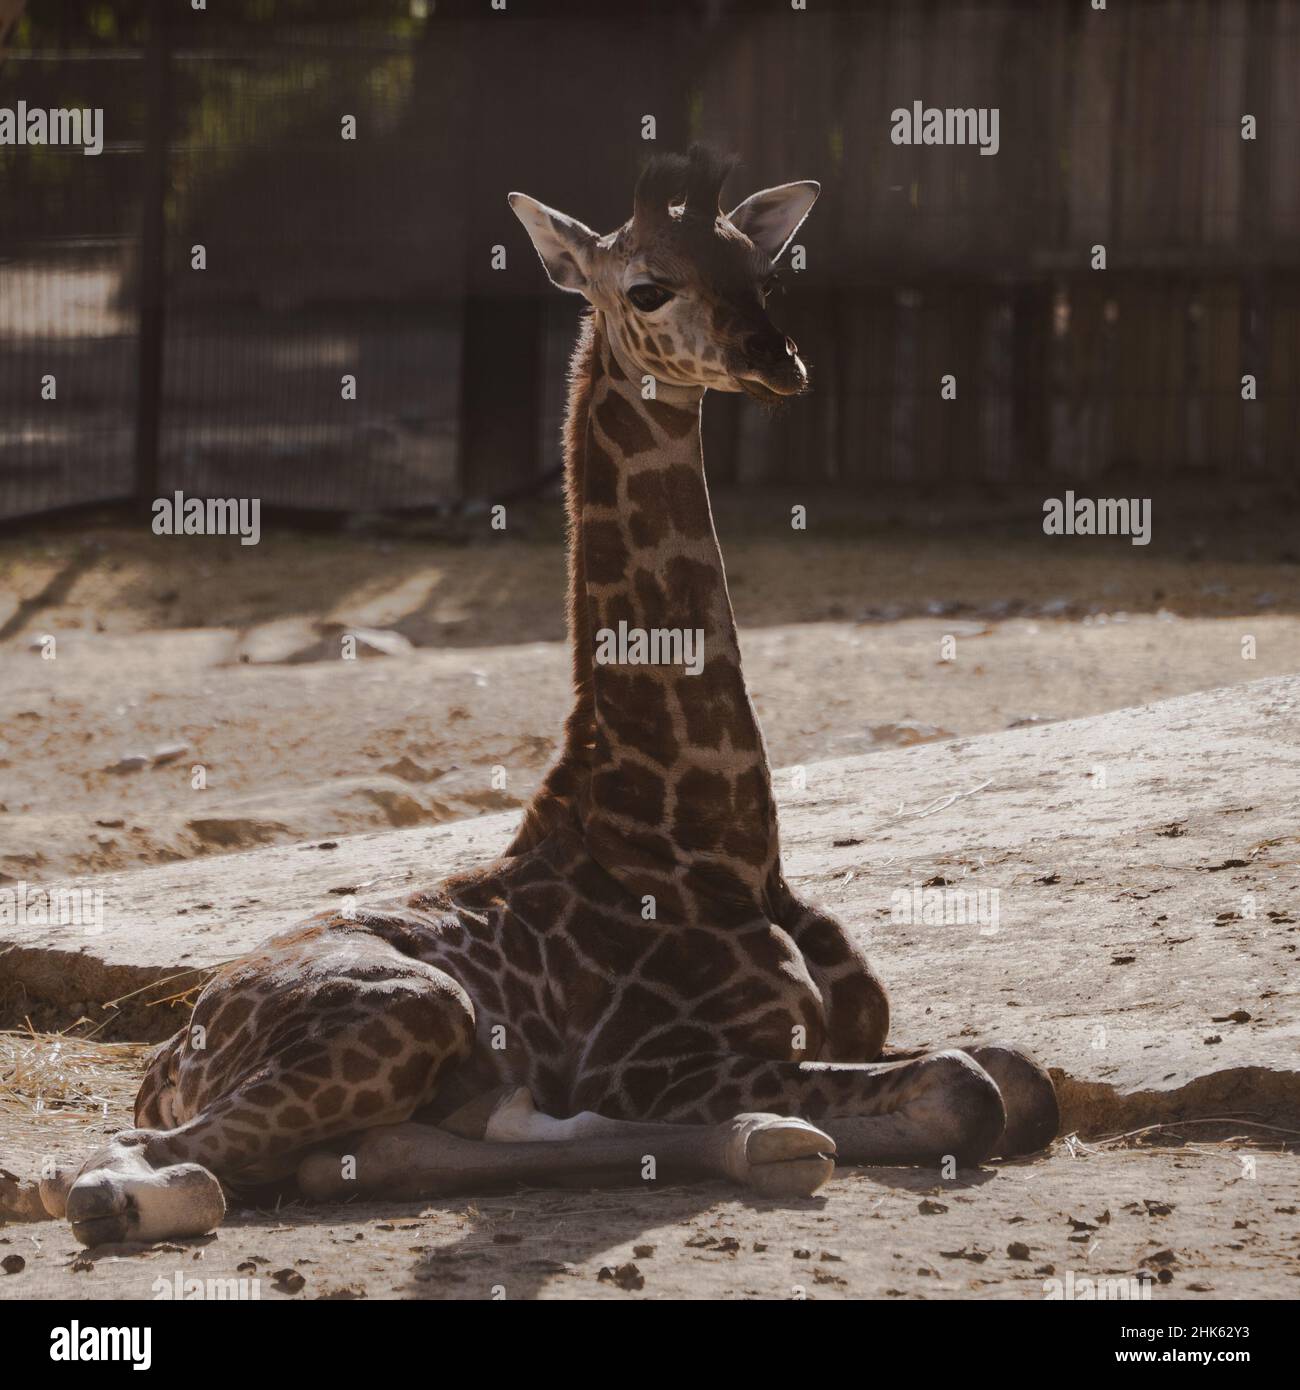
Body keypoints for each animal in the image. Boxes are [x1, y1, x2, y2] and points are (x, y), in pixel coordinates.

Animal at [41, 146, 1057, 1247]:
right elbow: (966, 1088)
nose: (774, 358)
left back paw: (758, 1138)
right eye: (647, 286)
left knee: (364, 1153)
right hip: (411, 1010)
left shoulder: (854, 1028)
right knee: (109, 1169)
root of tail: (165, 1056)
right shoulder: (659, 1063)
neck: (720, 843)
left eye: (763, 273)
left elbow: (1020, 1079)